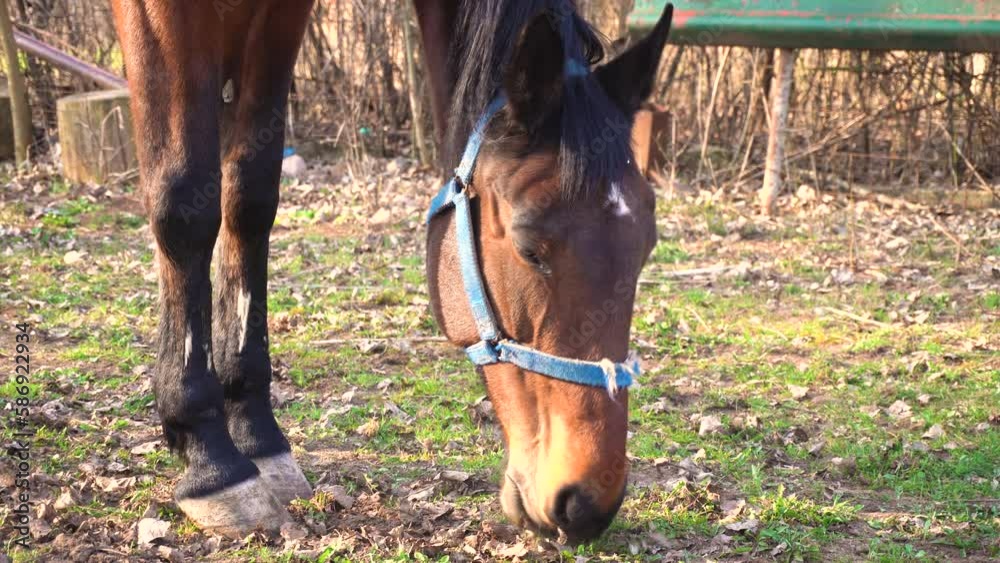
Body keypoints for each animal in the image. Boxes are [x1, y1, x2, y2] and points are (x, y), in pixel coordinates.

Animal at [110, 0, 673, 542]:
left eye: (646, 245)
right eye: (529, 247)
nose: (589, 502)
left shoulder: (280, 19)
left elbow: (249, 196)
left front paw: (257, 435)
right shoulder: (164, 16)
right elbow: (186, 202)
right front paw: (211, 455)